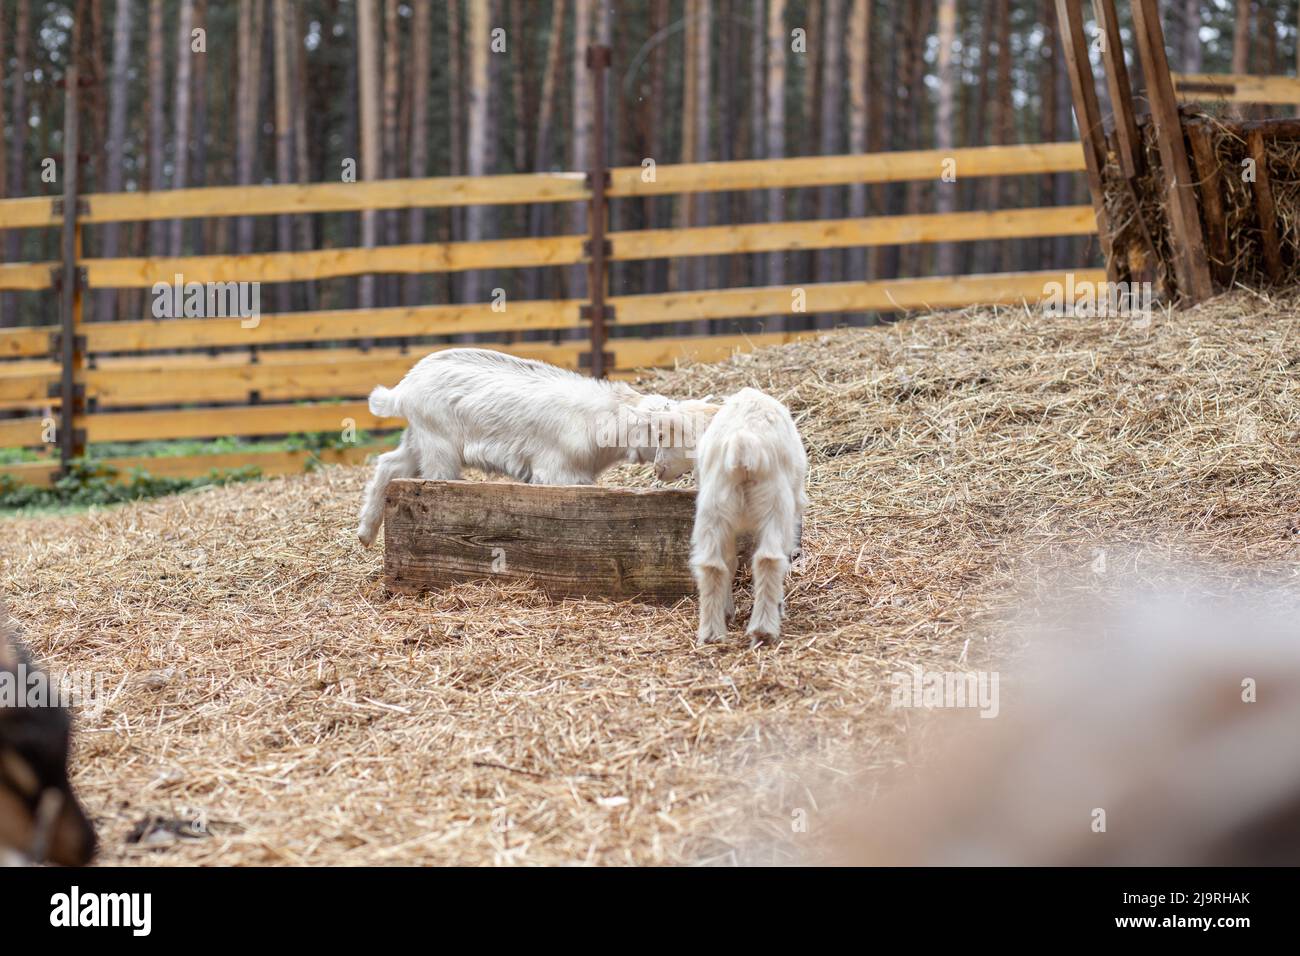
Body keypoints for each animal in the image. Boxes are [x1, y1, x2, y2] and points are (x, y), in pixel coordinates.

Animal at [357, 348, 675, 547]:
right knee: (432, 478)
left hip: (418, 437)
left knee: (389, 464)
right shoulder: (558, 472)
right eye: (661, 432)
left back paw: (365, 533)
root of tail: (403, 388)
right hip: (438, 444)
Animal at [656, 389, 808, 646]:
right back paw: (762, 627)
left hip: (714, 507)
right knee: (767, 559)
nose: (657, 470)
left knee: (714, 565)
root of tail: (743, 443)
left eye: (659, 436)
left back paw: (713, 633)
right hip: (775, 505)